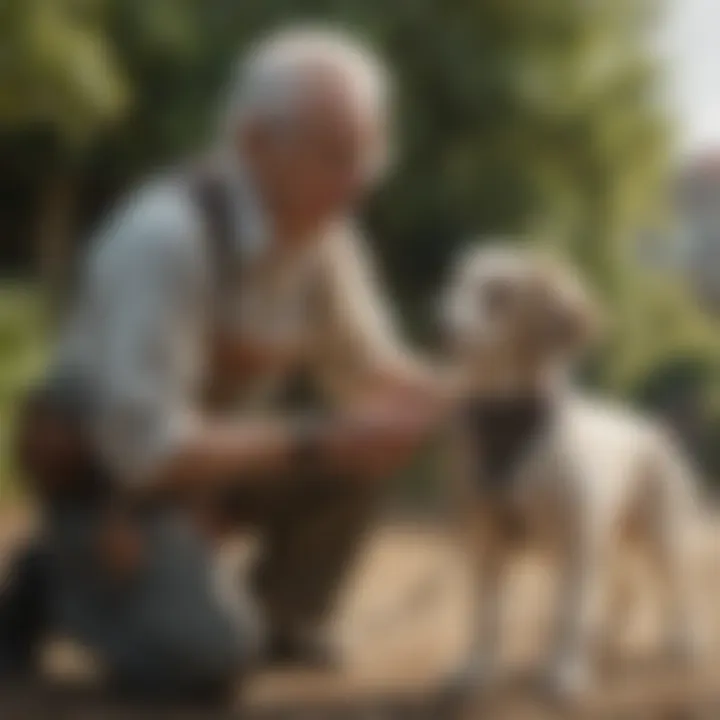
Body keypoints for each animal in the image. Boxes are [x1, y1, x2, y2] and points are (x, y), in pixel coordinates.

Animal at [442, 243, 700, 696]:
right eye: (457, 283)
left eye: (498, 294)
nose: (442, 327)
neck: (511, 425)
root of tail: (652, 428)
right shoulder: (486, 542)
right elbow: (486, 617)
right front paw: (476, 669)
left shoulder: (577, 542)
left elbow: (566, 614)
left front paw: (562, 672)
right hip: (613, 540)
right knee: (624, 590)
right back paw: (607, 635)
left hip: (660, 534)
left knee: (673, 590)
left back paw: (681, 641)